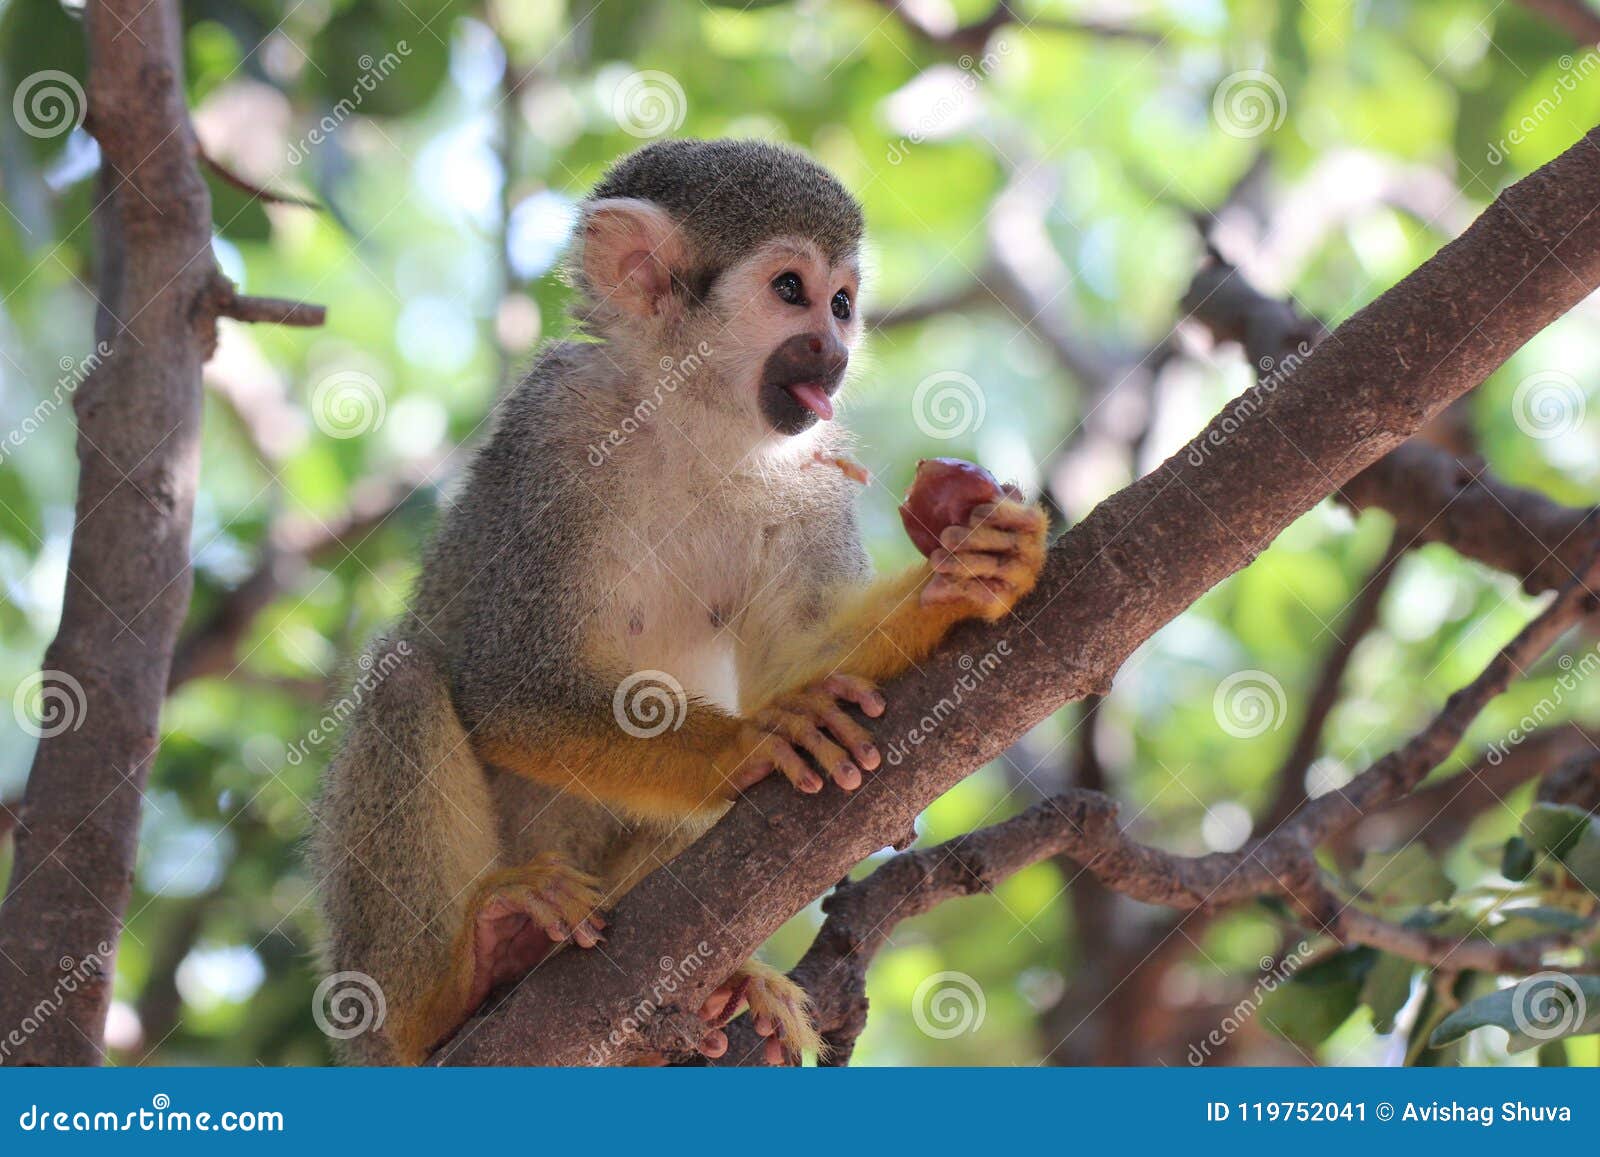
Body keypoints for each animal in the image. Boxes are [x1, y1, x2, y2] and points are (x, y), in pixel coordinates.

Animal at [310, 138, 1048, 1066]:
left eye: (843, 304)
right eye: (791, 290)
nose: (833, 352)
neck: (692, 422)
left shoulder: (809, 471)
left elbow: (804, 659)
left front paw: (972, 570)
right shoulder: (553, 428)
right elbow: (506, 684)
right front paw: (750, 740)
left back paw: (712, 989)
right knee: (407, 677)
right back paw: (450, 985)